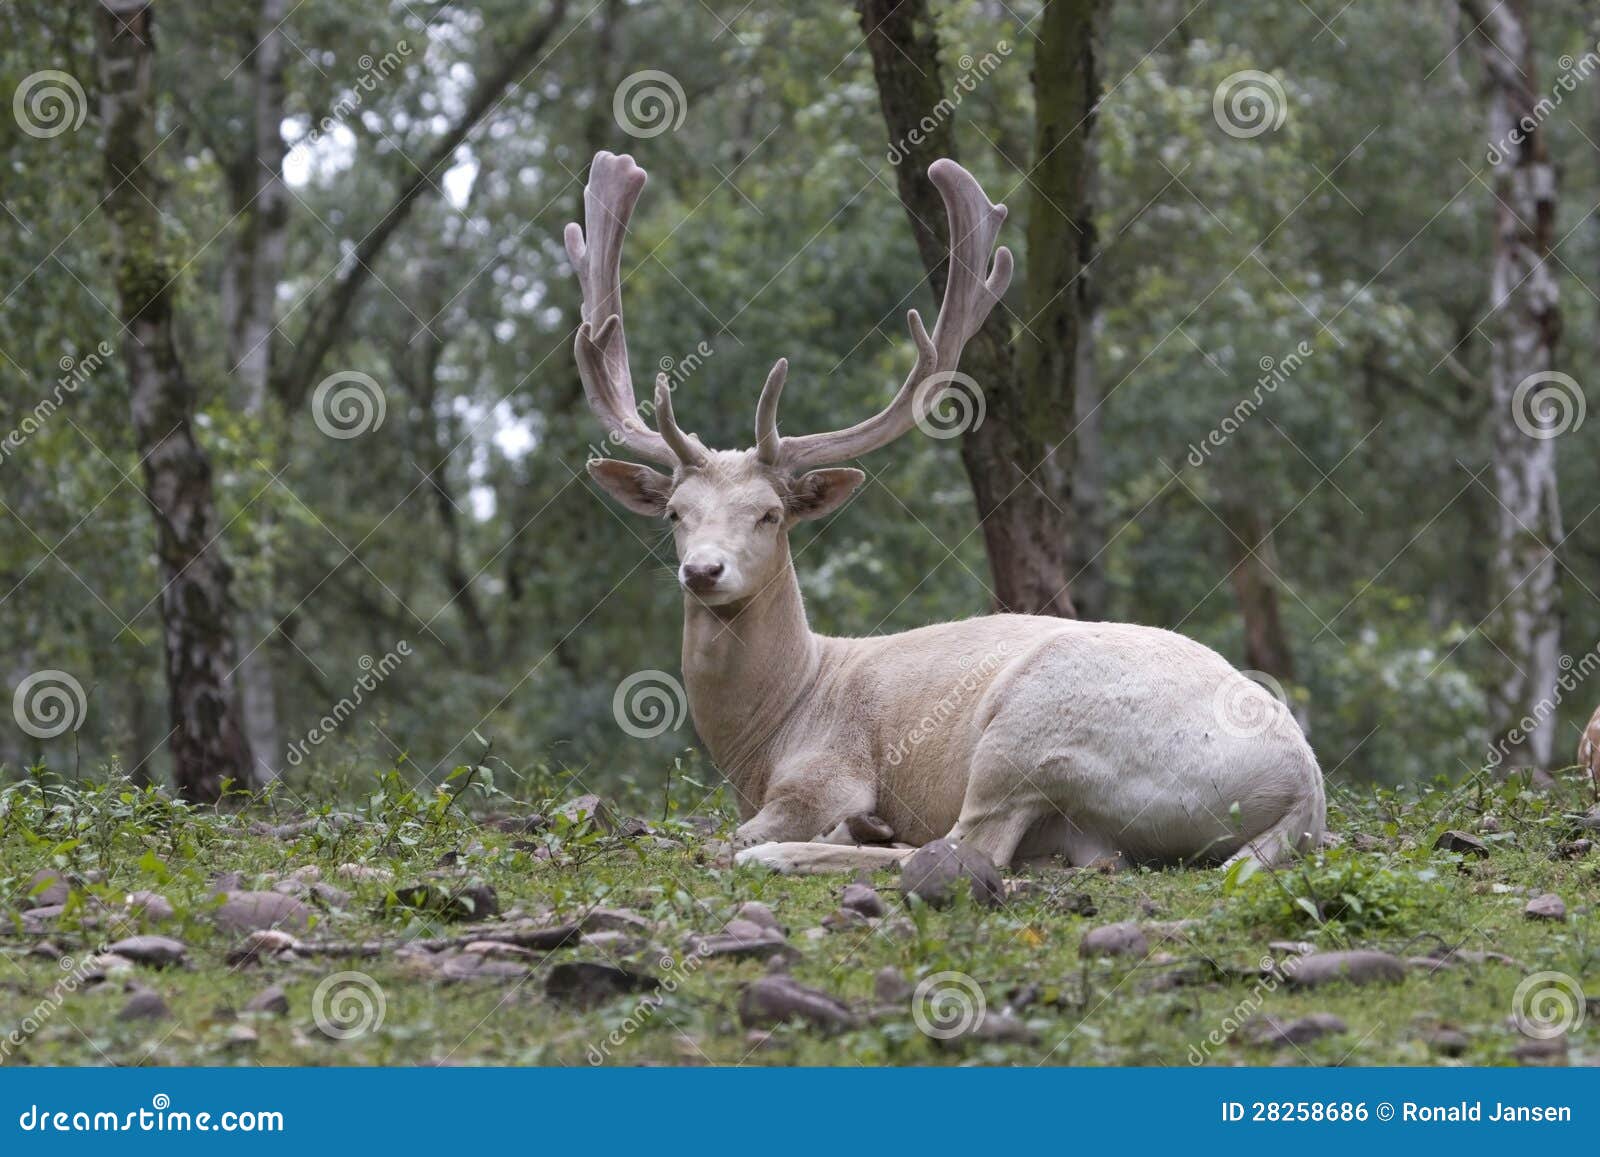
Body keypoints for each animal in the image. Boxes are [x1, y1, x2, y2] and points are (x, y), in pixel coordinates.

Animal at [569, 150, 1325, 875]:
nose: (703, 571)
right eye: (674, 512)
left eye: (770, 514)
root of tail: (1308, 793)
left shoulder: (828, 770)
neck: (778, 722)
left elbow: (729, 834)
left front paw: (808, 832)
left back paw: (802, 850)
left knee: (968, 845)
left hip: (1031, 726)